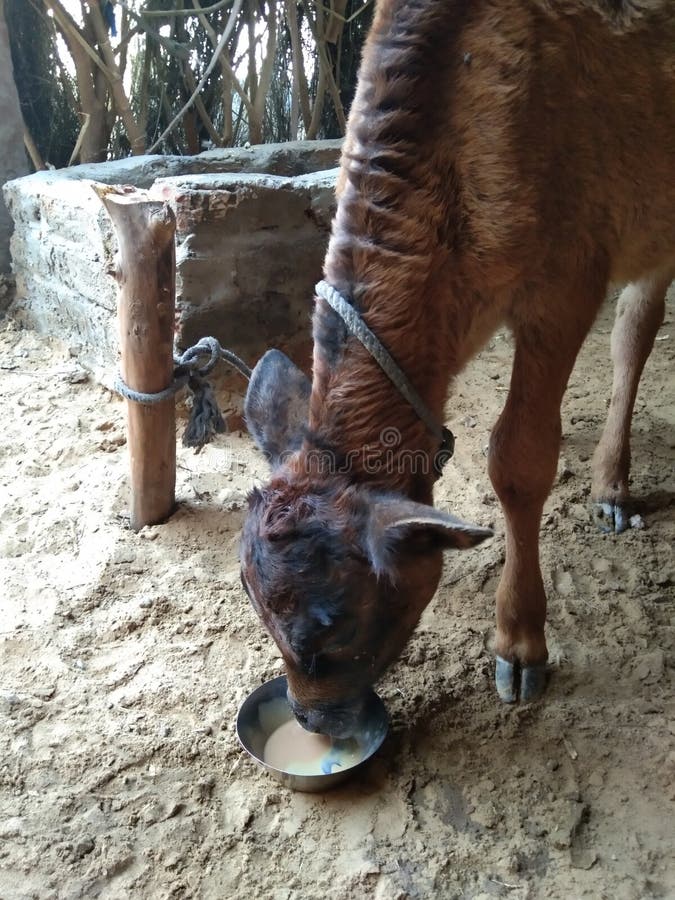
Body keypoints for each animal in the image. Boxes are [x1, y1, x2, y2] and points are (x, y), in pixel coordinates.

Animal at [239, 0, 675, 738]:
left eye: (334, 623)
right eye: (252, 597)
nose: (313, 720)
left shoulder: (568, 278)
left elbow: (518, 460)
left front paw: (520, 643)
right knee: (636, 322)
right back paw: (611, 484)